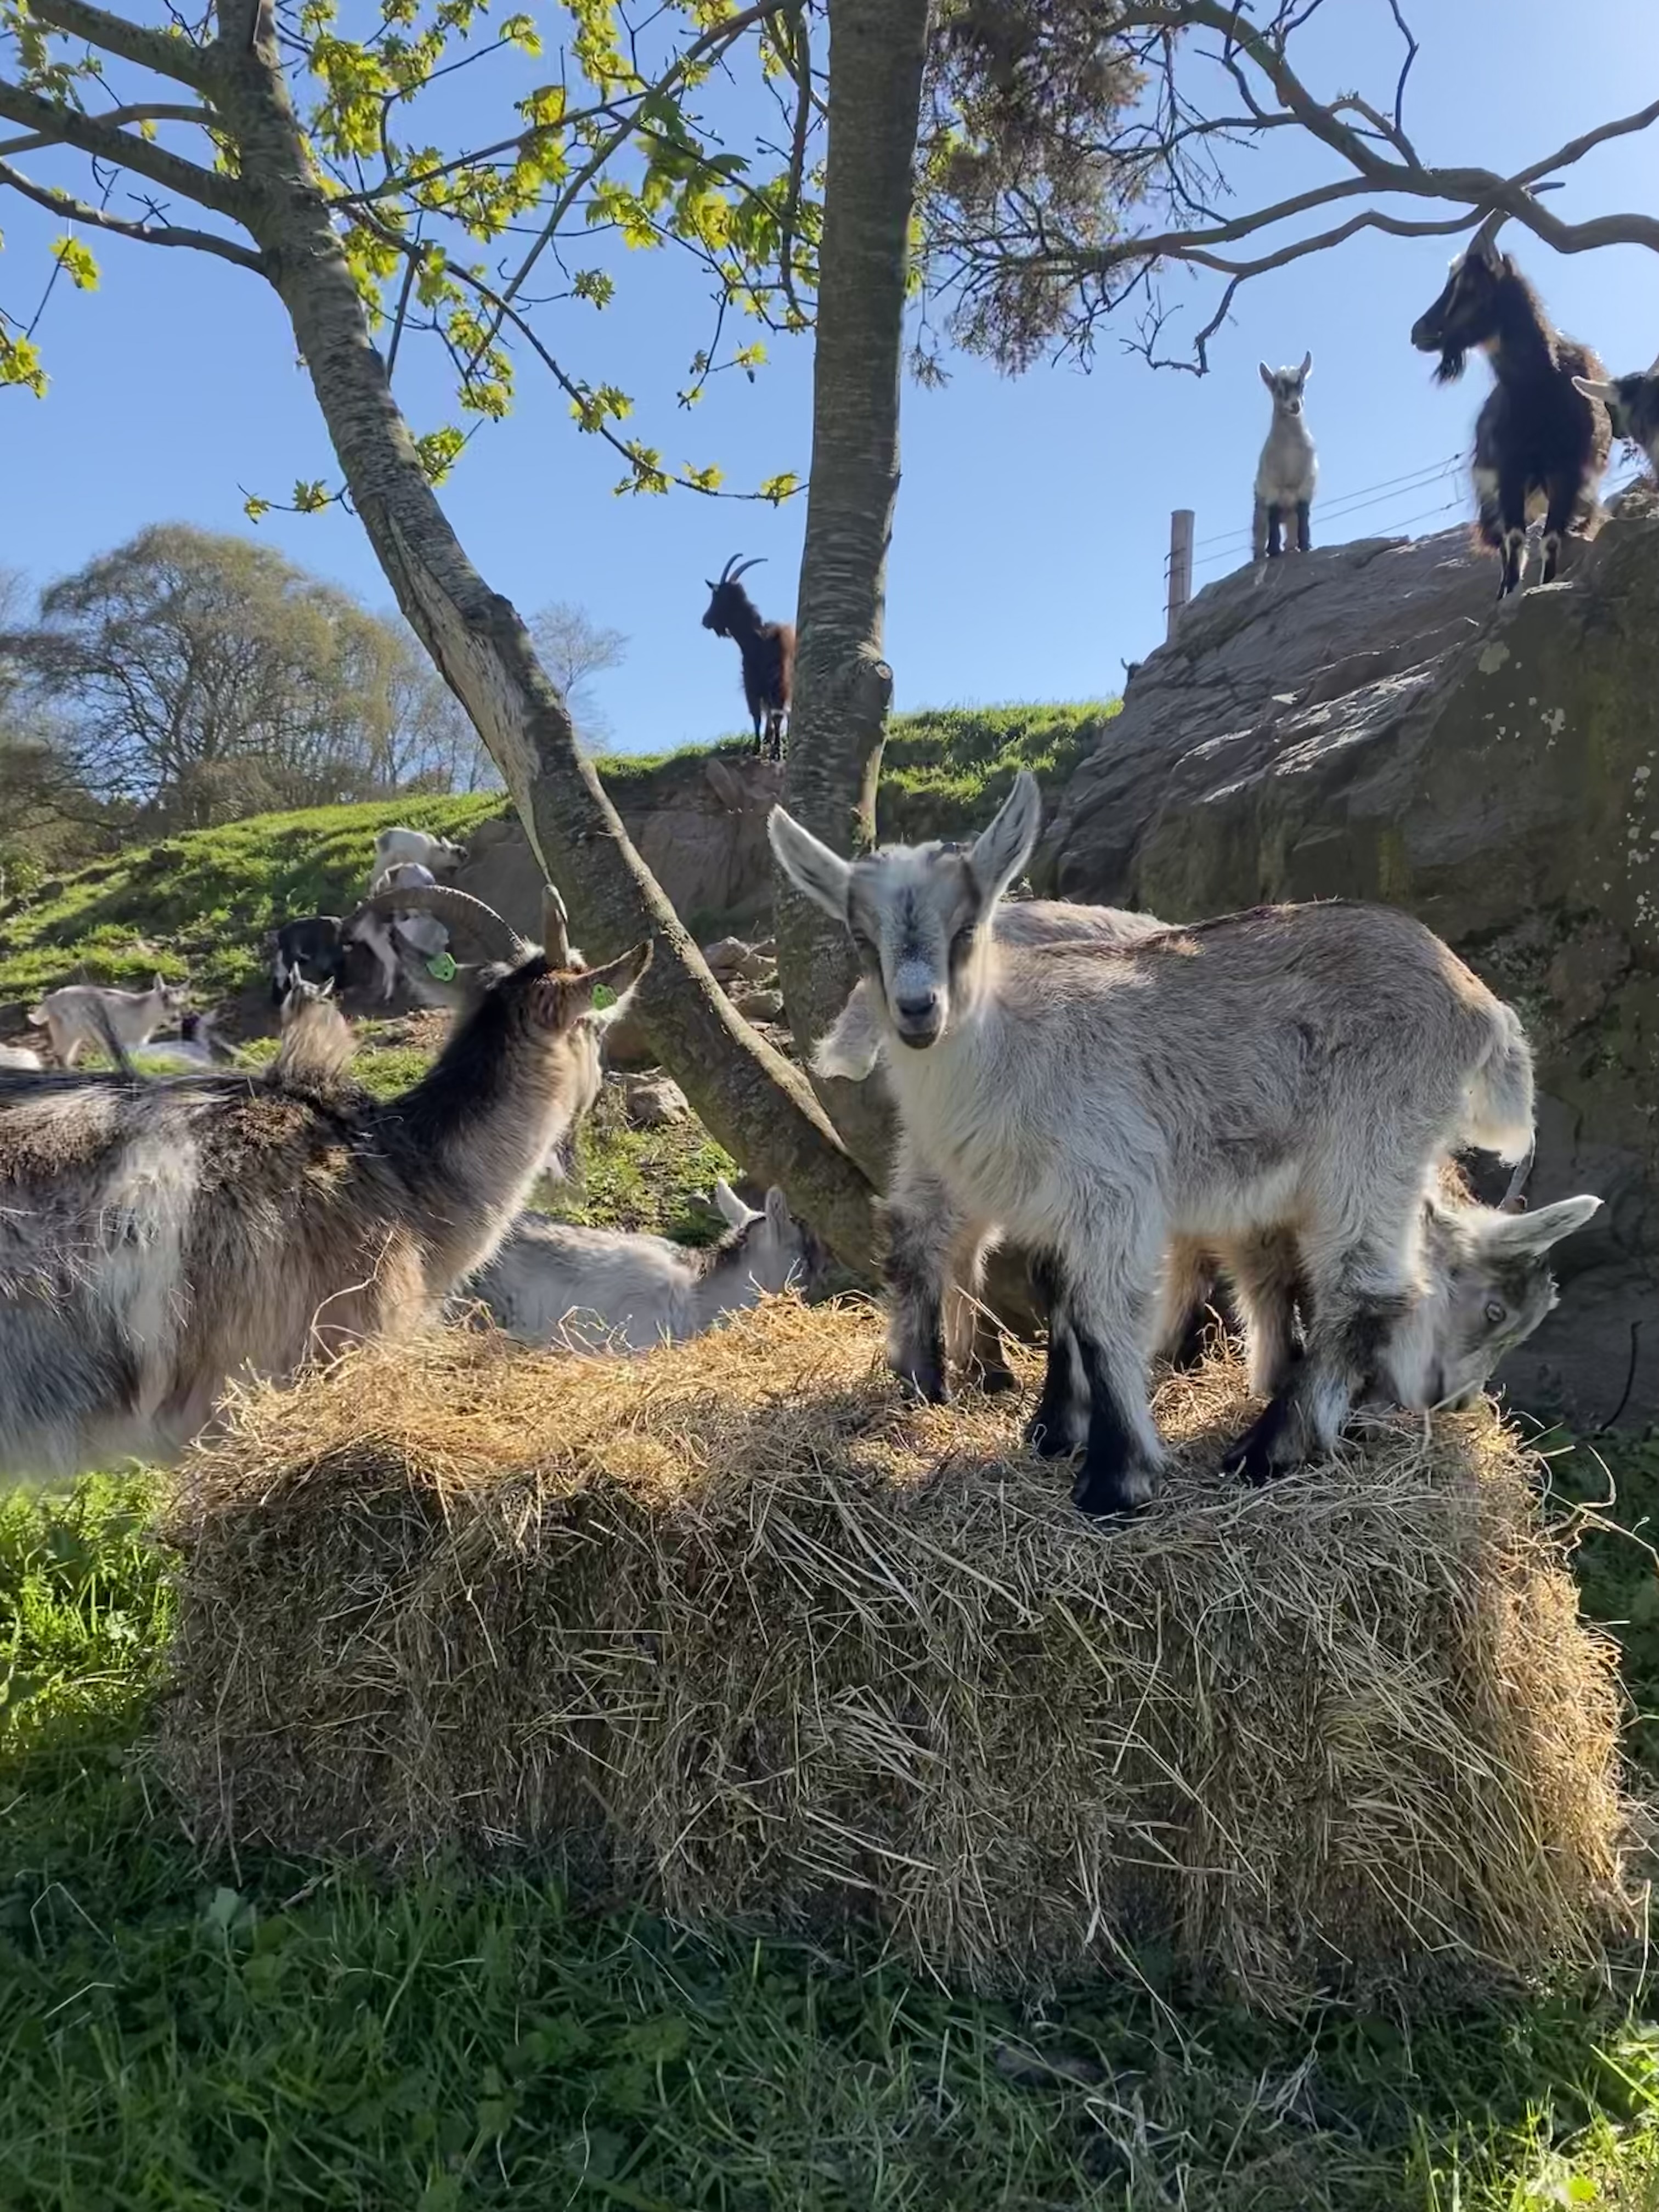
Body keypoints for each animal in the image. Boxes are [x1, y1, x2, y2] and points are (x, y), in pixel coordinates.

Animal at [28, 974, 189, 1070]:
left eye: (180, 1004)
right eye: (164, 1000)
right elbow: (121, 1058)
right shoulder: (116, 1036)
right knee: (59, 1054)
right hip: (64, 1029)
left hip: (74, 1033)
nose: (175, 1018)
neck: (141, 1011)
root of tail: (51, 999)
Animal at [701, 554, 794, 760]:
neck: (758, 641)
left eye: (717, 597)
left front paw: (777, 751)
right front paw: (757, 747)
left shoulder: (779, 685)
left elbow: (776, 715)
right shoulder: (752, 687)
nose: (705, 621)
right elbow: (757, 717)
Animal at [771, 772, 1538, 1518]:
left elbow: (1106, 1316)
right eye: (861, 938)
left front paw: (1114, 1478)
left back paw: (1268, 1449)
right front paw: (1065, 1434)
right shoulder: (1064, 1200)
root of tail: (1479, 1004)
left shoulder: (1115, 1185)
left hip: (1374, 1136)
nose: (917, 1011)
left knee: (1365, 1289)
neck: (1022, 1047)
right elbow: (1074, 1304)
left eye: (965, 928)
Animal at [1253, 352, 1317, 559]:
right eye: (1278, 389)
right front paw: (1273, 550)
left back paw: (1292, 547)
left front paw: (1306, 545)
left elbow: (1304, 512)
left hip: (1290, 516)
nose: (1295, 405)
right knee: (1259, 537)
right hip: (1259, 512)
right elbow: (1273, 515)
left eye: (1302, 385)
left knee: (1290, 535)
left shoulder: (1307, 482)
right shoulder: (1271, 485)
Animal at [1411, 210, 1612, 598]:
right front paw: (1508, 594)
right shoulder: (1509, 471)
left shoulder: (1566, 471)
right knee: (1505, 539)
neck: (1538, 389)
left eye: (1470, 286)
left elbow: (1551, 540)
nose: (1419, 332)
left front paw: (1545, 585)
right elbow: (1515, 539)